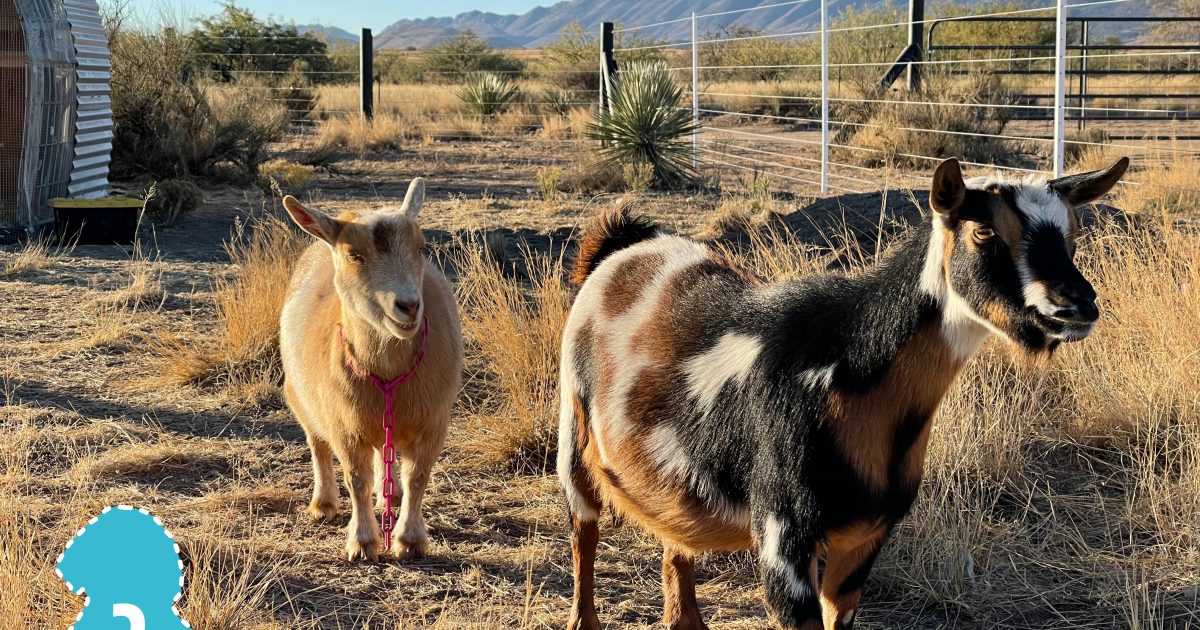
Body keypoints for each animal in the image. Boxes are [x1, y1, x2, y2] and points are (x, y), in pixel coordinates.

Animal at [279, 179, 463, 562]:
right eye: (354, 255)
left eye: (421, 247)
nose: (408, 306)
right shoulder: (344, 423)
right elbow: (356, 479)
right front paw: (363, 543)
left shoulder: (434, 420)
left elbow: (417, 477)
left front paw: (409, 541)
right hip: (299, 396)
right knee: (317, 445)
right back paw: (324, 503)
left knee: (386, 454)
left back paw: (390, 493)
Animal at [557, 157, 1129, 629]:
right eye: (984, 231)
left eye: (1073, 232)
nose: (1076, 304)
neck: (850, 367)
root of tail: (623, 249)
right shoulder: (783, 541)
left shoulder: (866, 539)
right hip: (574, 430)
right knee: (584, 531)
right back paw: (582, 617)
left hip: (677, 483)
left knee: (676, 552)